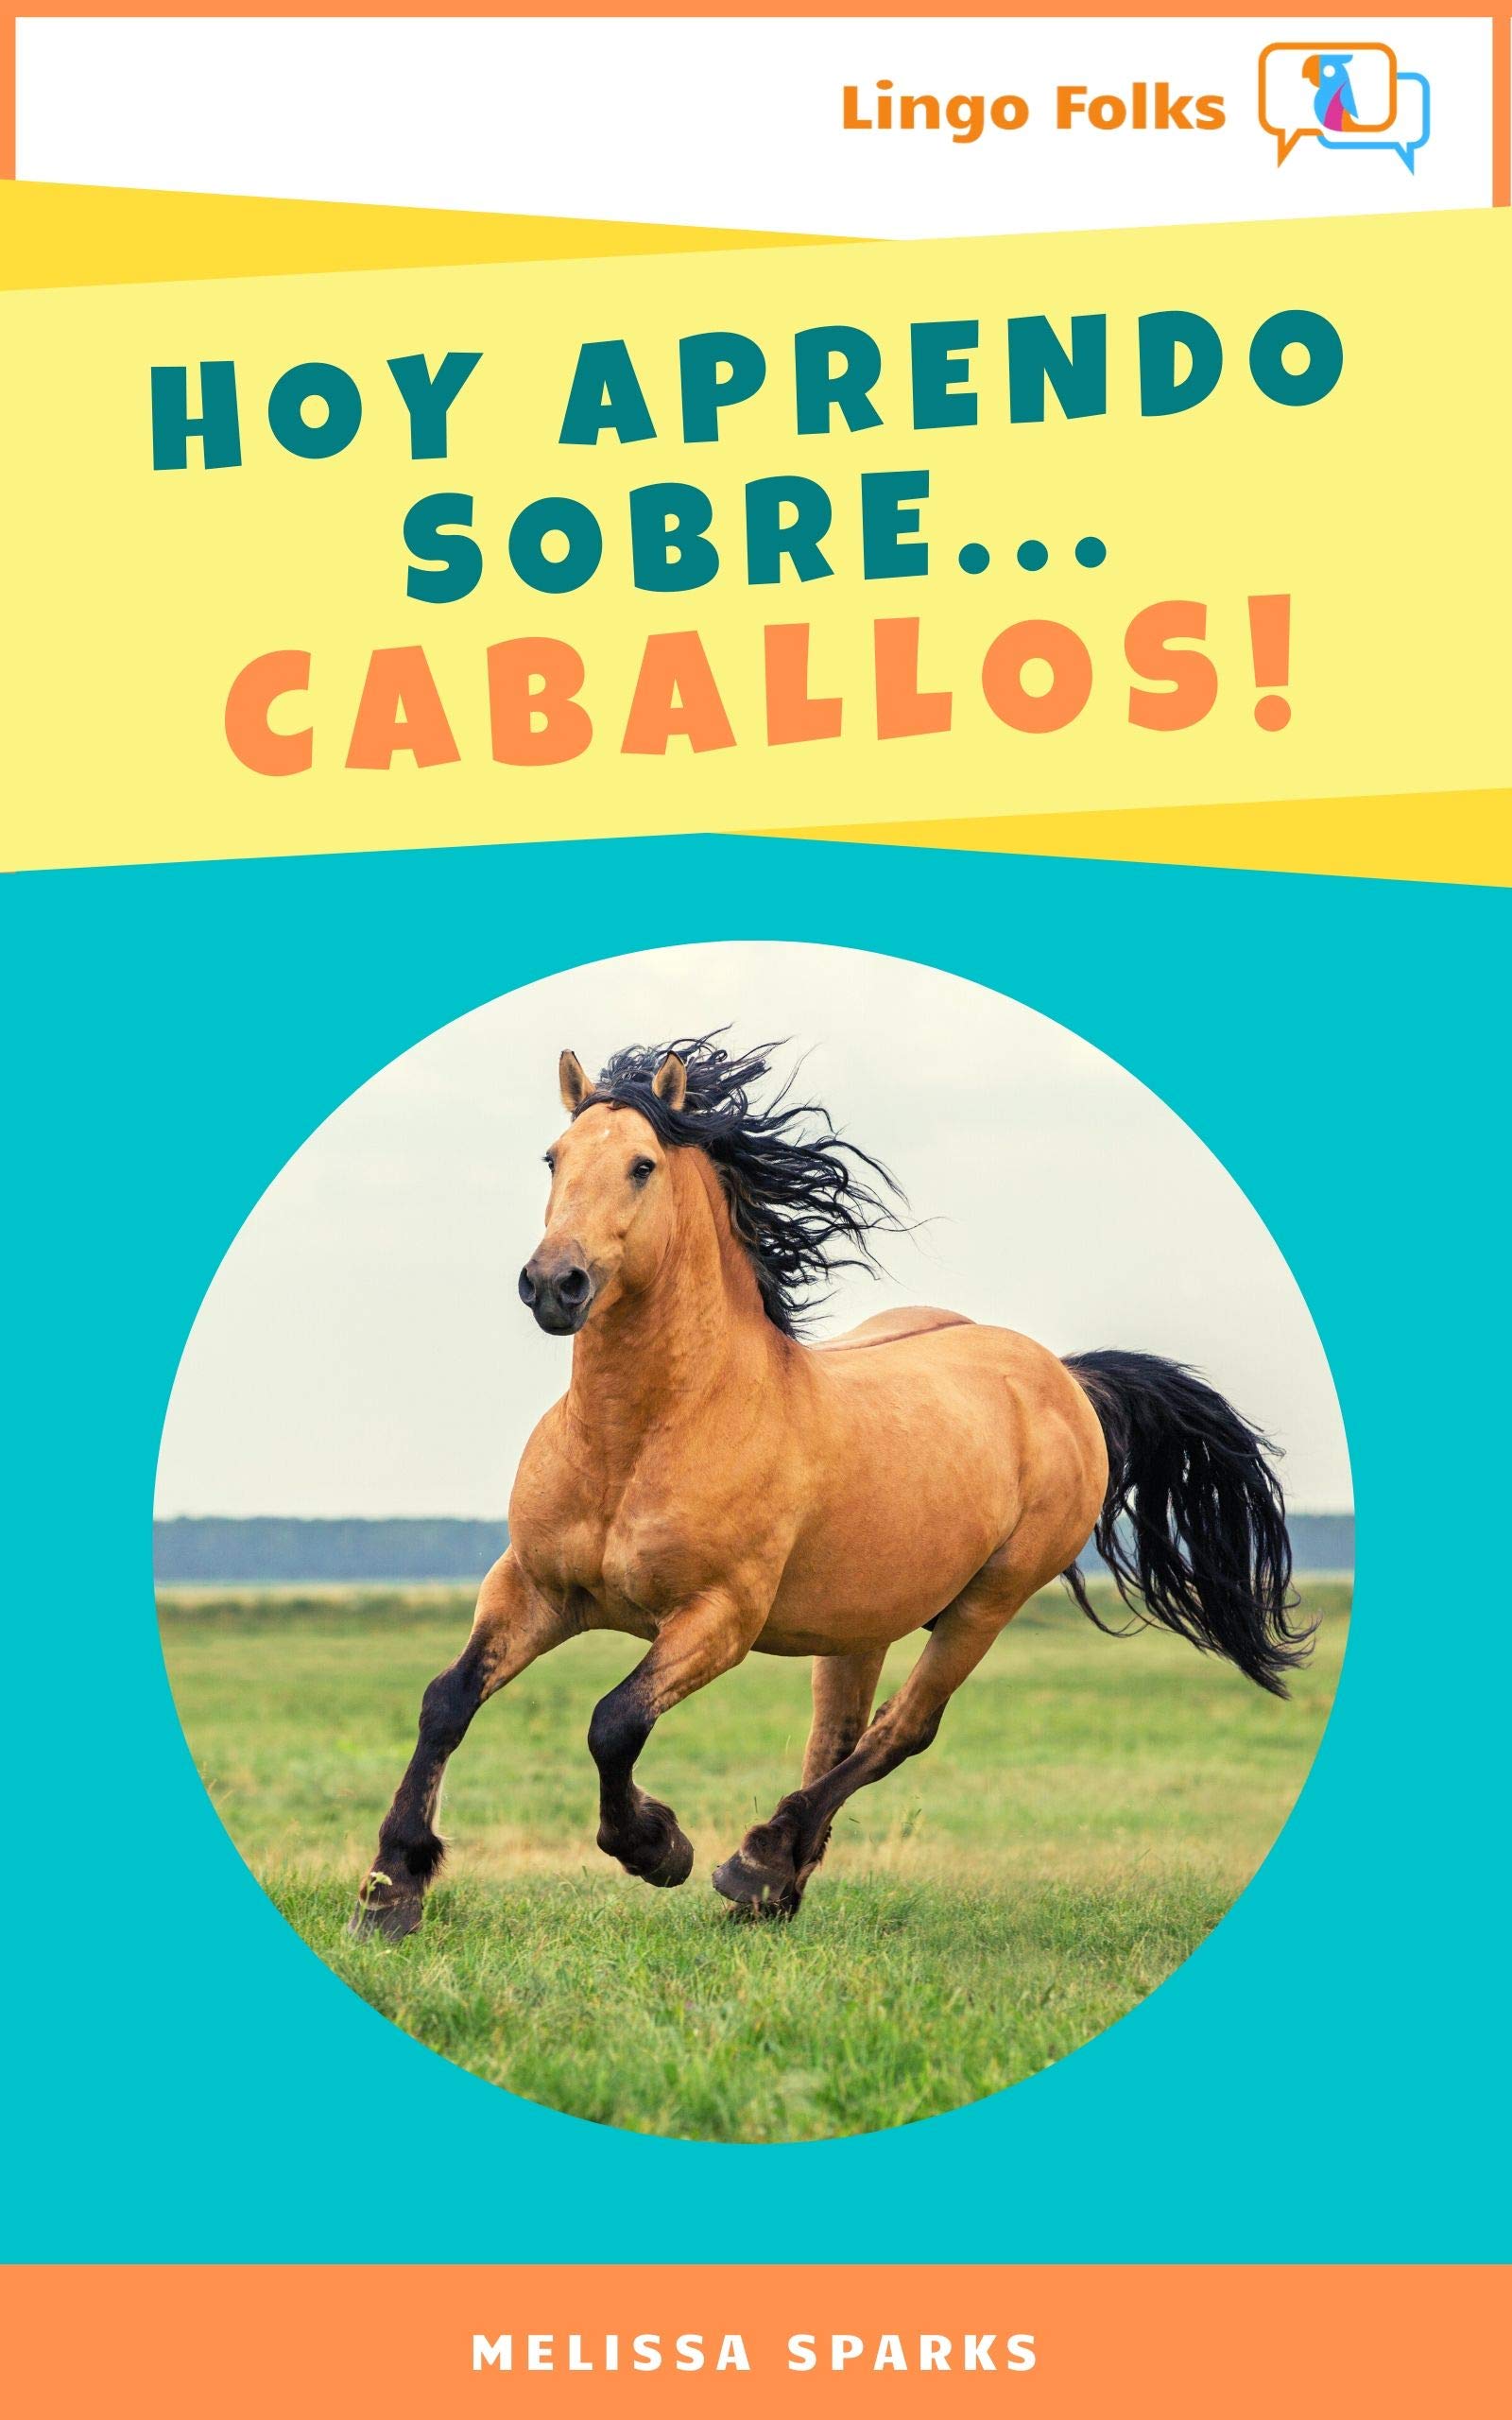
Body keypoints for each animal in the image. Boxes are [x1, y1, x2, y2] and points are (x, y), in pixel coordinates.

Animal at [353, 1034, 1308, 1936]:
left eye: (642, 1165)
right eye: (553, 1158)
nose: (555, 1284)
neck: (643, 1437)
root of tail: (1063, 1377)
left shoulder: (718, 1618)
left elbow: (613, 1722)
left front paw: (658, 1848)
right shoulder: (534, 1588)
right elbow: (446, 1702)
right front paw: (391, 1889)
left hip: (987, 1602)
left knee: (900, 1731)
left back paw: (755, 1863)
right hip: (862, 1622)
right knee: (837, 1736)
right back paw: (774, 1888)